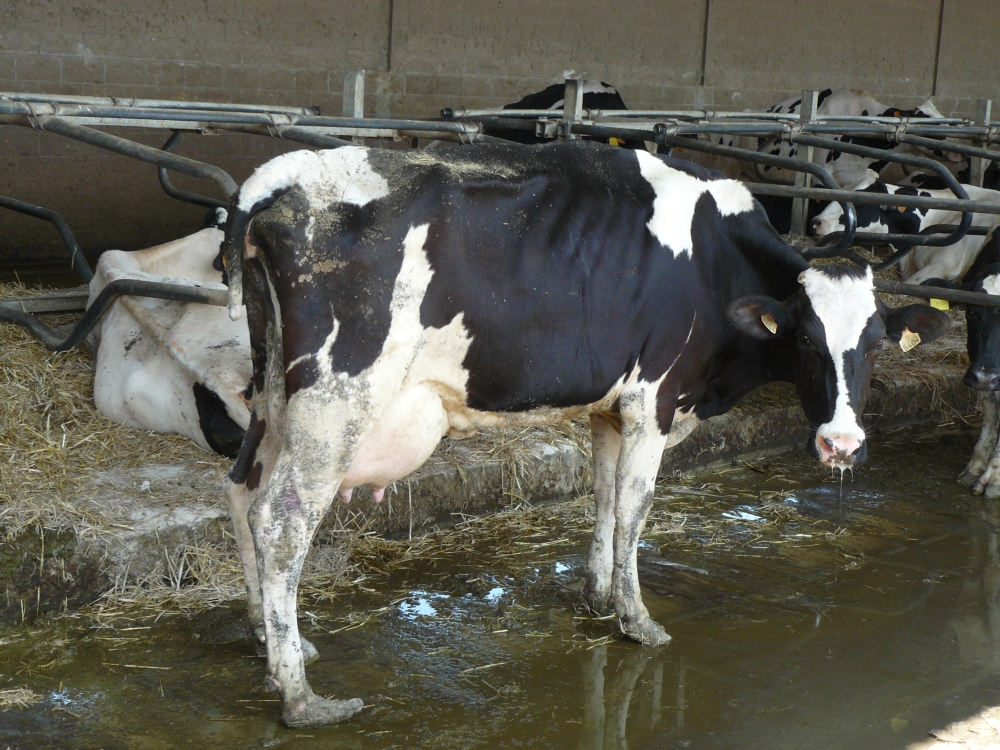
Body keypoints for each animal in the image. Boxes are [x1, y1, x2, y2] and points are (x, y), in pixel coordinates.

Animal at [220, 141, 951, 727]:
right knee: (282, 521)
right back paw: (299, 695)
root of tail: (285, 177)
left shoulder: (611, 404)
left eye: (876, 344)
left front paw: (597, 595)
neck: (715, 259)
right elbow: (634, 505)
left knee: (242, 489)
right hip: (335, 403)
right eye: (804, 339)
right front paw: (637, 619)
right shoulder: (654, 399)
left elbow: (602, 494)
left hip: (275, 394)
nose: (842, 445)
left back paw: (266, 638)